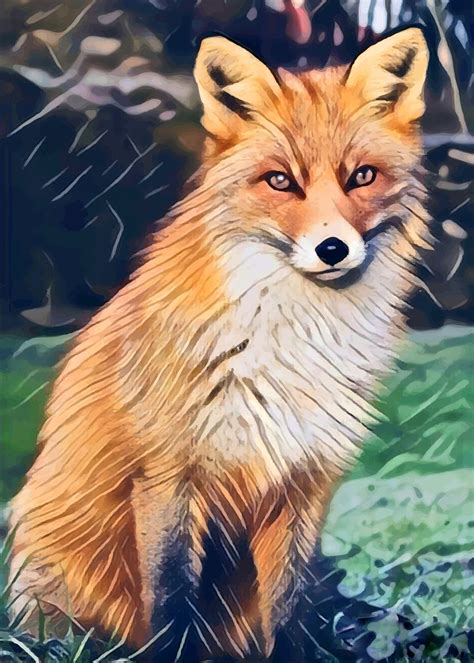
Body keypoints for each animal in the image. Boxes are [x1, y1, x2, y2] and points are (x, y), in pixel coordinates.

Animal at [9, 27, 431, 662]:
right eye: (281, 180)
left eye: (362, 176)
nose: (333, 249)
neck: (291, 346)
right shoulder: (167, 477)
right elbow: (172, 603)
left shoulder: (303, 483)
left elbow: (287, 608)